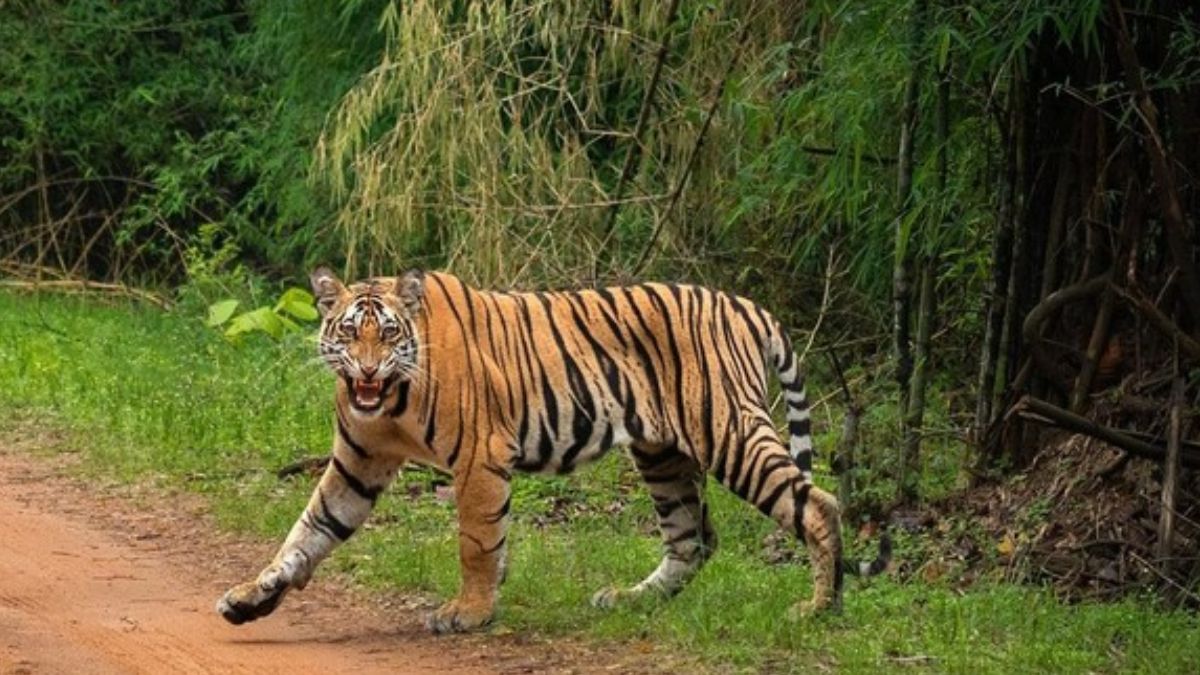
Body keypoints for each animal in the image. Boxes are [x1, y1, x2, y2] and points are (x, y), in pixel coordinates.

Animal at [217, 267, 890, 633]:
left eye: (386, 334)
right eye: (347, 332)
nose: (365, 370)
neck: (390, 402)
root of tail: (747, 305)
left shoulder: (480, 456)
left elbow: (476, 541)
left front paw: (470, 613)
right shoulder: (357, 464)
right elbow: (307, 533)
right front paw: (251, 597)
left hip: (729, 431)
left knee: (817, 505)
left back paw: (819, 608)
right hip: (662, 454)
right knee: (693, 538)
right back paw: (628, 601)